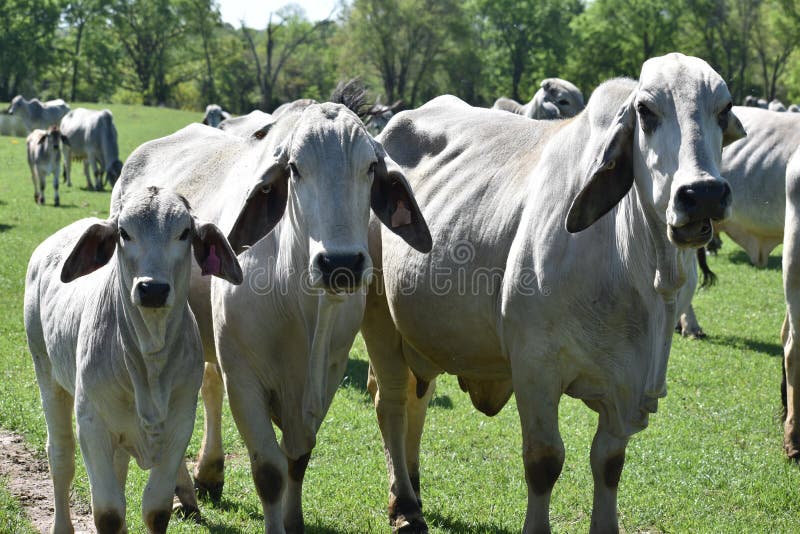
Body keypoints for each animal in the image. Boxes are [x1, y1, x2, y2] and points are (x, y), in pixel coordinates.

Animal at [24, 185, 242, 533]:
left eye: (184, 233)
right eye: (124, 233)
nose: (152, 289)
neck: (149, 360)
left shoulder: (179, 427)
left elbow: (156, 509)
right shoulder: (92, 425)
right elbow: (108, 513)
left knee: (118, 466)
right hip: (46, 373)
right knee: (60, 456)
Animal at [110, 92, 431, 532]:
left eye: (370, 167)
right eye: (294, 168)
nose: (340, 263)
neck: (301, 309)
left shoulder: (327, 377)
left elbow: (298, 457)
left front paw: (293, 520)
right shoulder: (244, 378)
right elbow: (269, 472)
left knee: (208, 386)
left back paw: (205, 478)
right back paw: (185, 494)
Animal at [361, 53, 744, 533]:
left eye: (724, 109)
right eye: (645, 111)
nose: (704, 194)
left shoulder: (628, 386)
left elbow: (609, 463)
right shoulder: (535, 368)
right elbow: (544, 461)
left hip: (421, 334)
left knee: (419, 398)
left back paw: (412, 485)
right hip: (379, 320)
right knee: (391, 402)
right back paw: (405, 506)